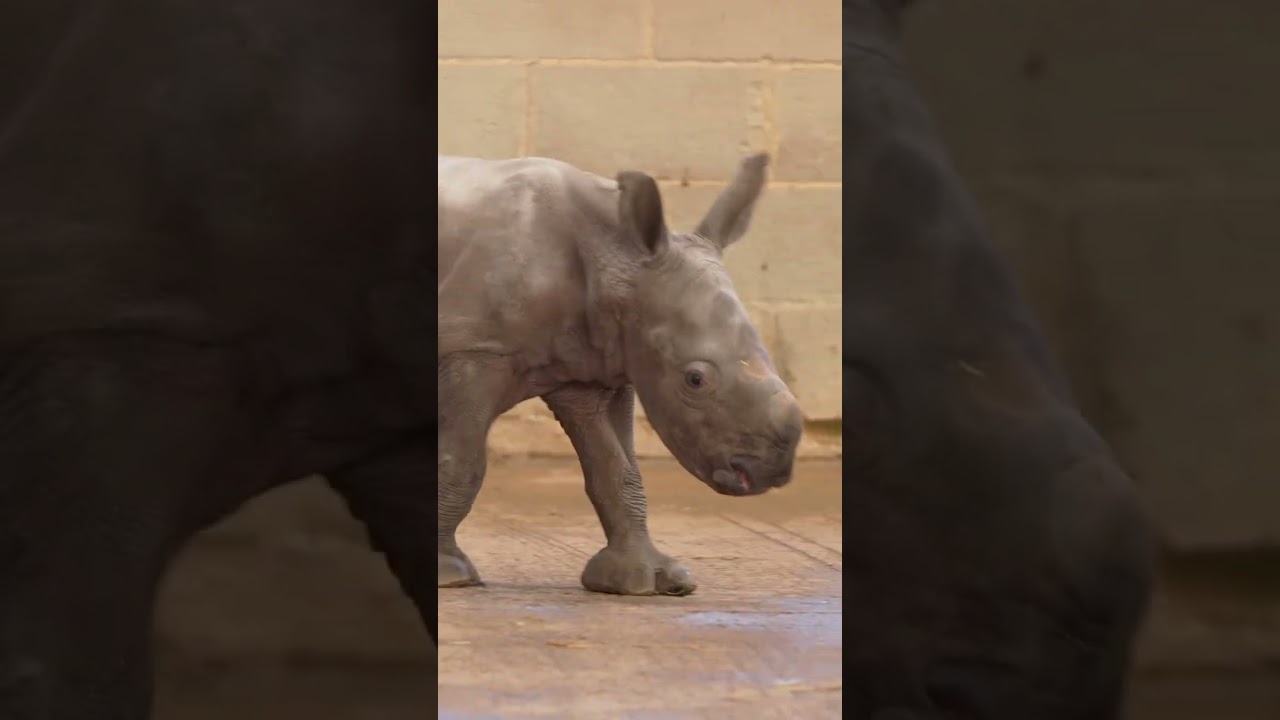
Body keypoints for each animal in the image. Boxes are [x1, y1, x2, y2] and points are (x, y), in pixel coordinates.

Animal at [437, 153, 804, 595]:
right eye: (695, 380)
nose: (772, 470)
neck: (618, 256)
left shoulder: (594, 366)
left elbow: (619, 471)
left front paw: (648, 582)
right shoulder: (477, 350)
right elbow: (461, 462)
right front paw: (448, 574)